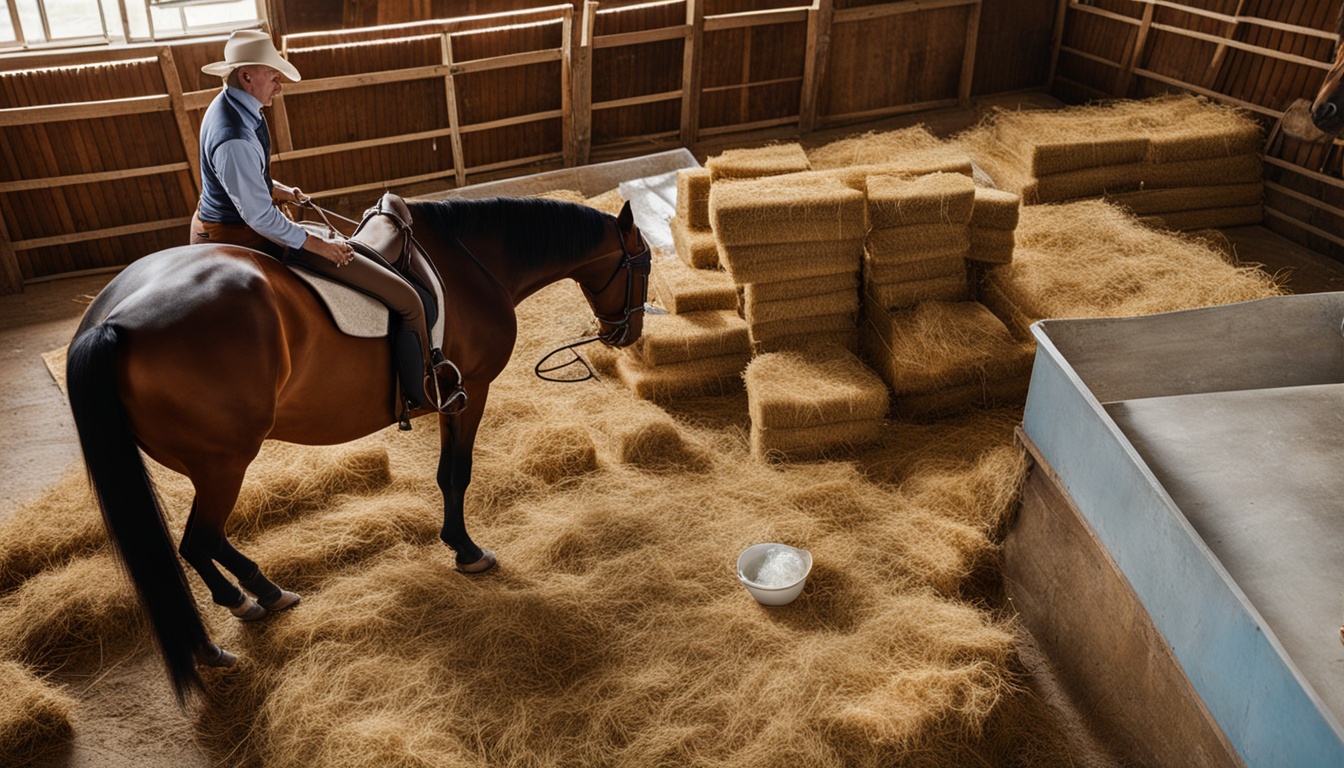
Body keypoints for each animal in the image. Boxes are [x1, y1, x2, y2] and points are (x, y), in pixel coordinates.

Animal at [65, 195, 650, 702]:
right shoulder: (468, 394)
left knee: (198, 543)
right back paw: (237, 617)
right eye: (642, 265)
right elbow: (454, 474)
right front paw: (466, 550)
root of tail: (111, 320)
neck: (473, 262)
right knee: (198, 539)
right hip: (222, 462)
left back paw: (257, 598)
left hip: (206, 465)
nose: (626, 334)